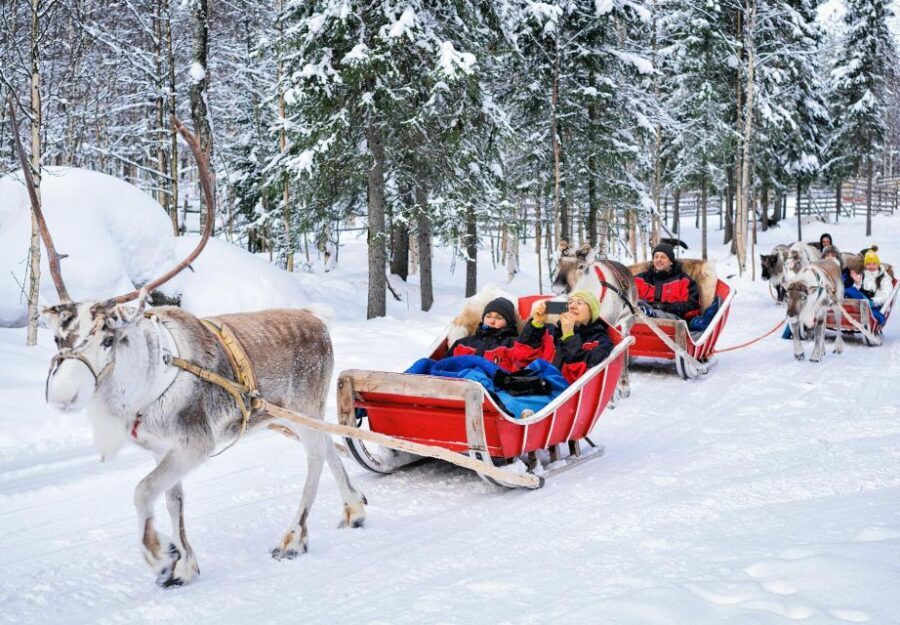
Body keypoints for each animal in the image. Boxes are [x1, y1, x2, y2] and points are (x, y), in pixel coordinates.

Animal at [8, 101, 366, 588]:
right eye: (58, 336)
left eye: (109, 338)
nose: (63, 395)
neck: (140, 388)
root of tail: (317, 321)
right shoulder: (165, 449)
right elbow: (173, 500)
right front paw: (183, 562)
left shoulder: (194, 444)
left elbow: (142, 490)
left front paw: (159, 554)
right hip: (288, 416)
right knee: (330, 445)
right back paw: (354, 506)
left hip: (305, 406)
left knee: (314, 457)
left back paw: (294, 537)